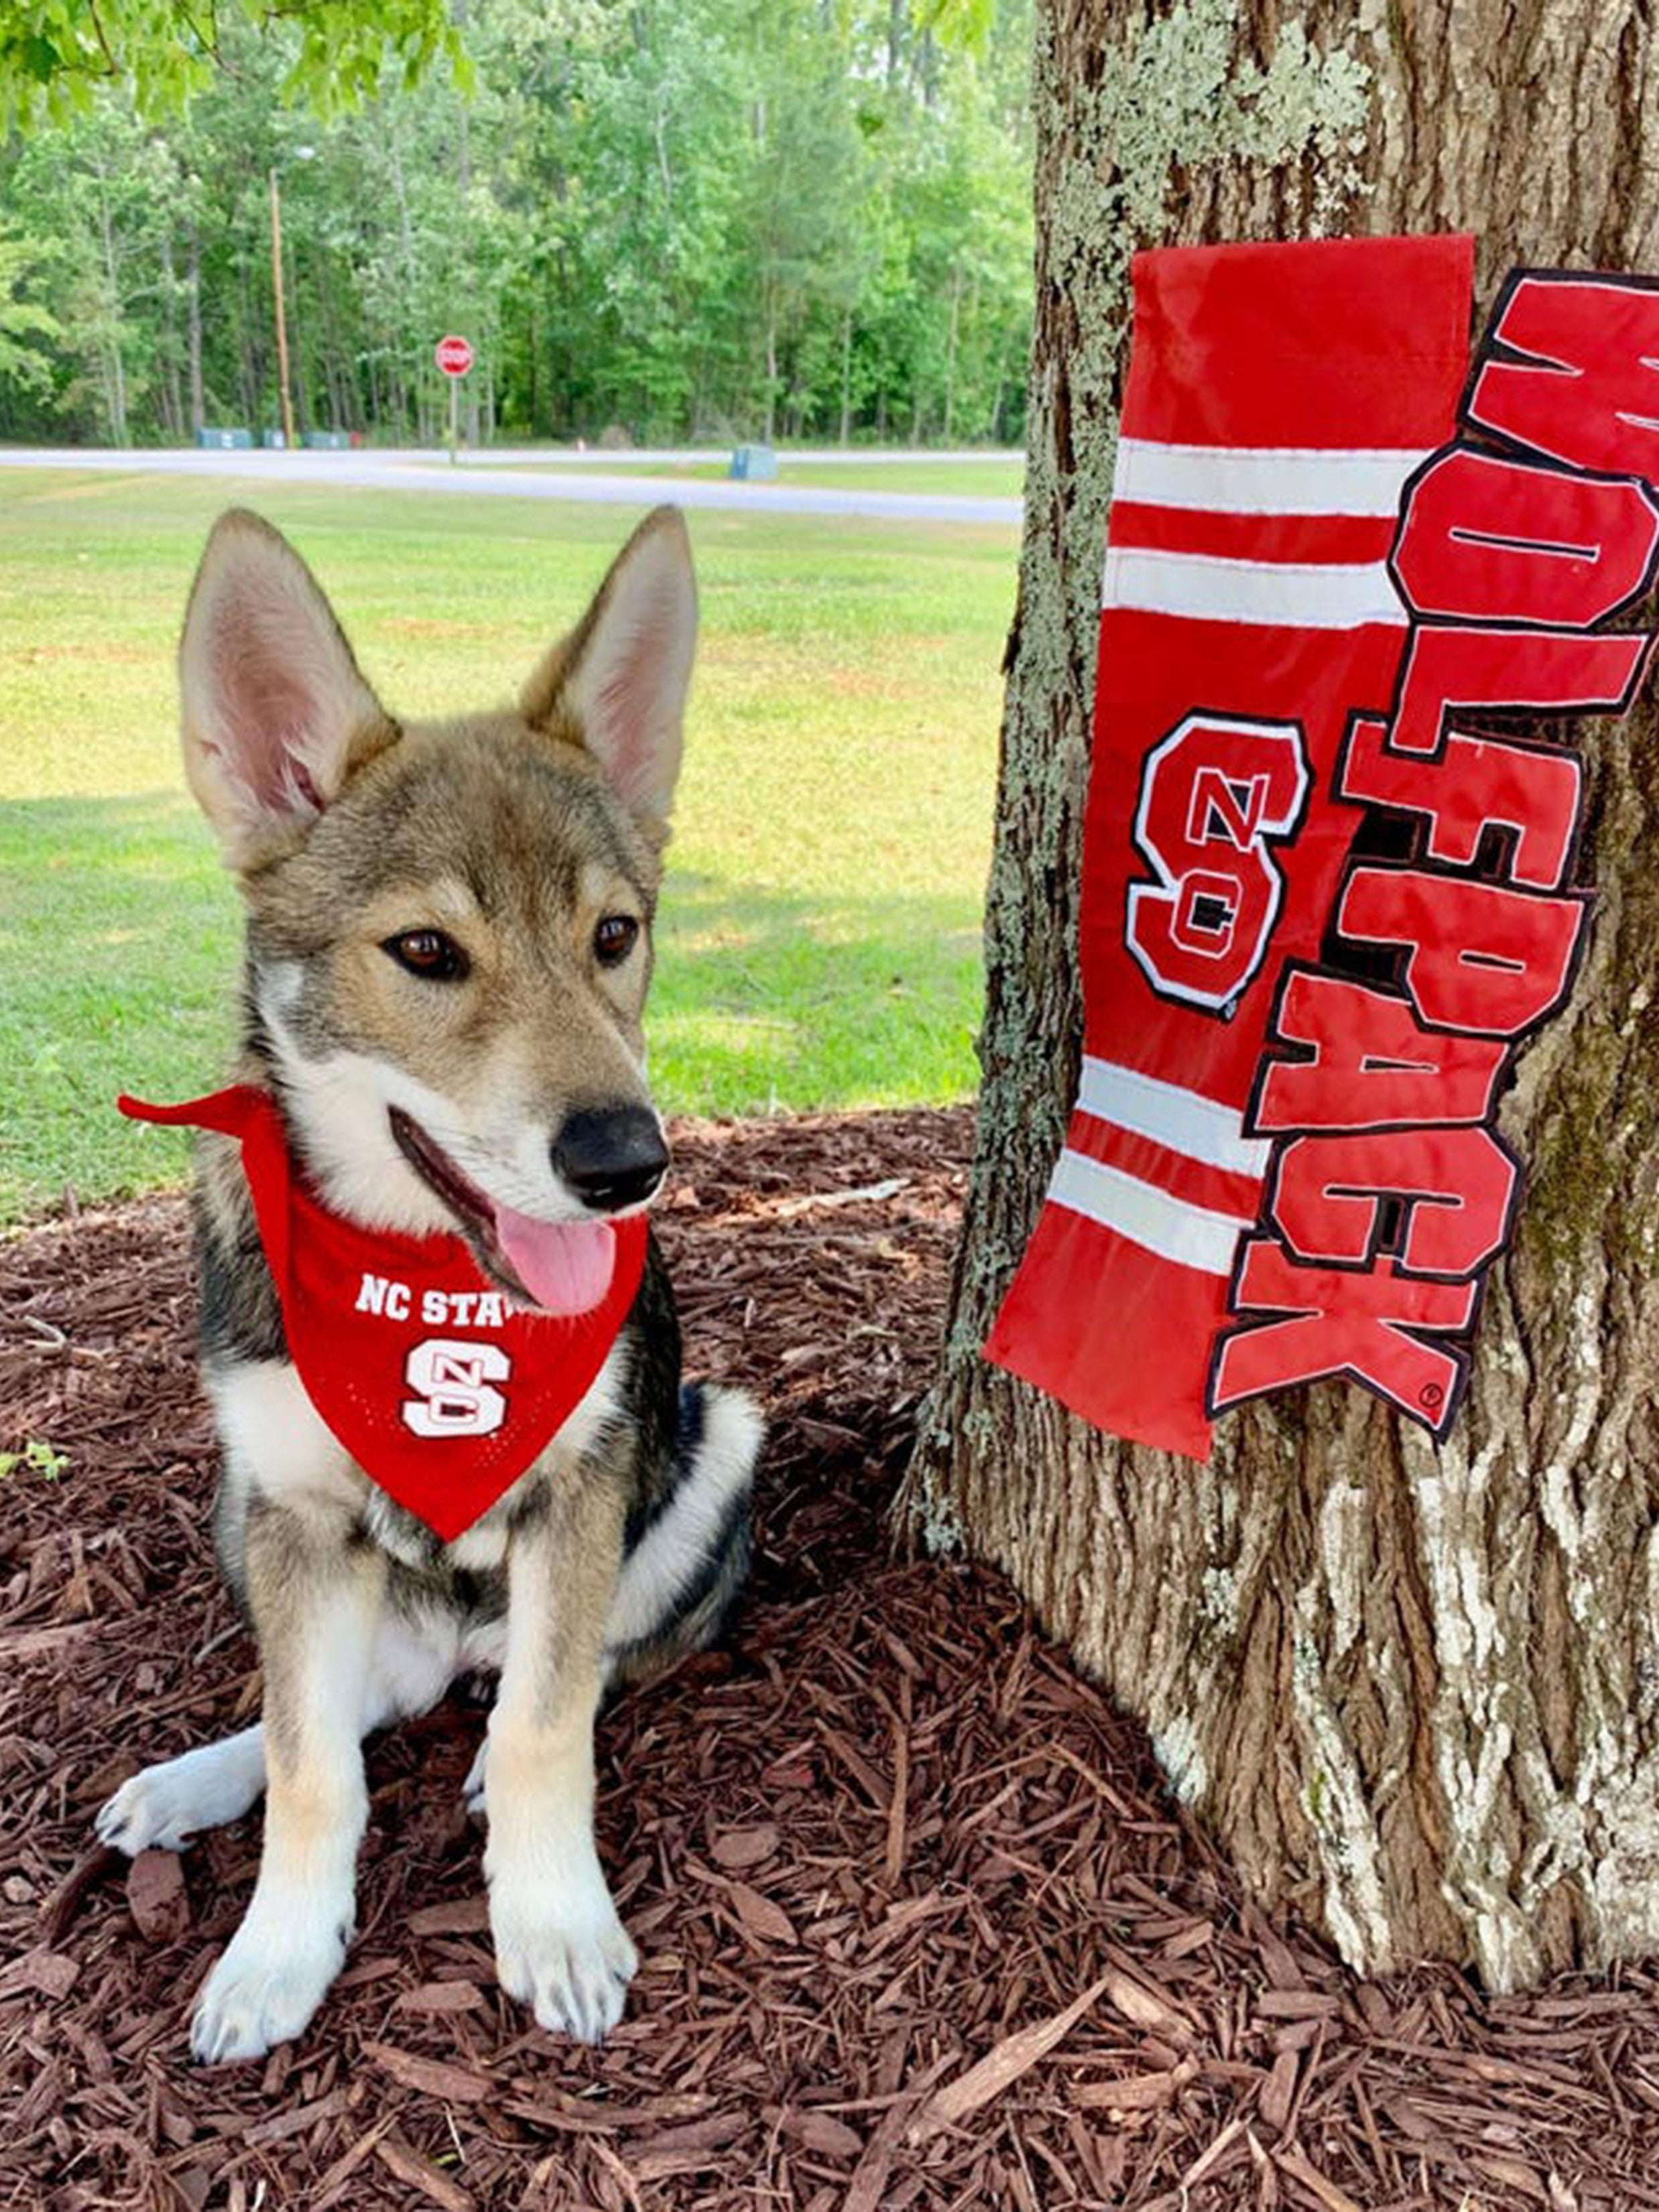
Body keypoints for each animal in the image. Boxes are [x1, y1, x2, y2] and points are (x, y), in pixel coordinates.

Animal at [96, 505, 762, 2065]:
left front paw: (553, 1921)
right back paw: (191, 1781)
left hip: (714, 1442)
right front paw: (277, 1949)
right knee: (364, 1701)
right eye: (424, 953)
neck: (425, 1306)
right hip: (244, 1509)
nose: (624, 1162)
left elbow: (543, 1725)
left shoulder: (584, 1492)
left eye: (614, 935)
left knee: (555, 1672)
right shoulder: (291, 1509)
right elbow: (310, 1760)